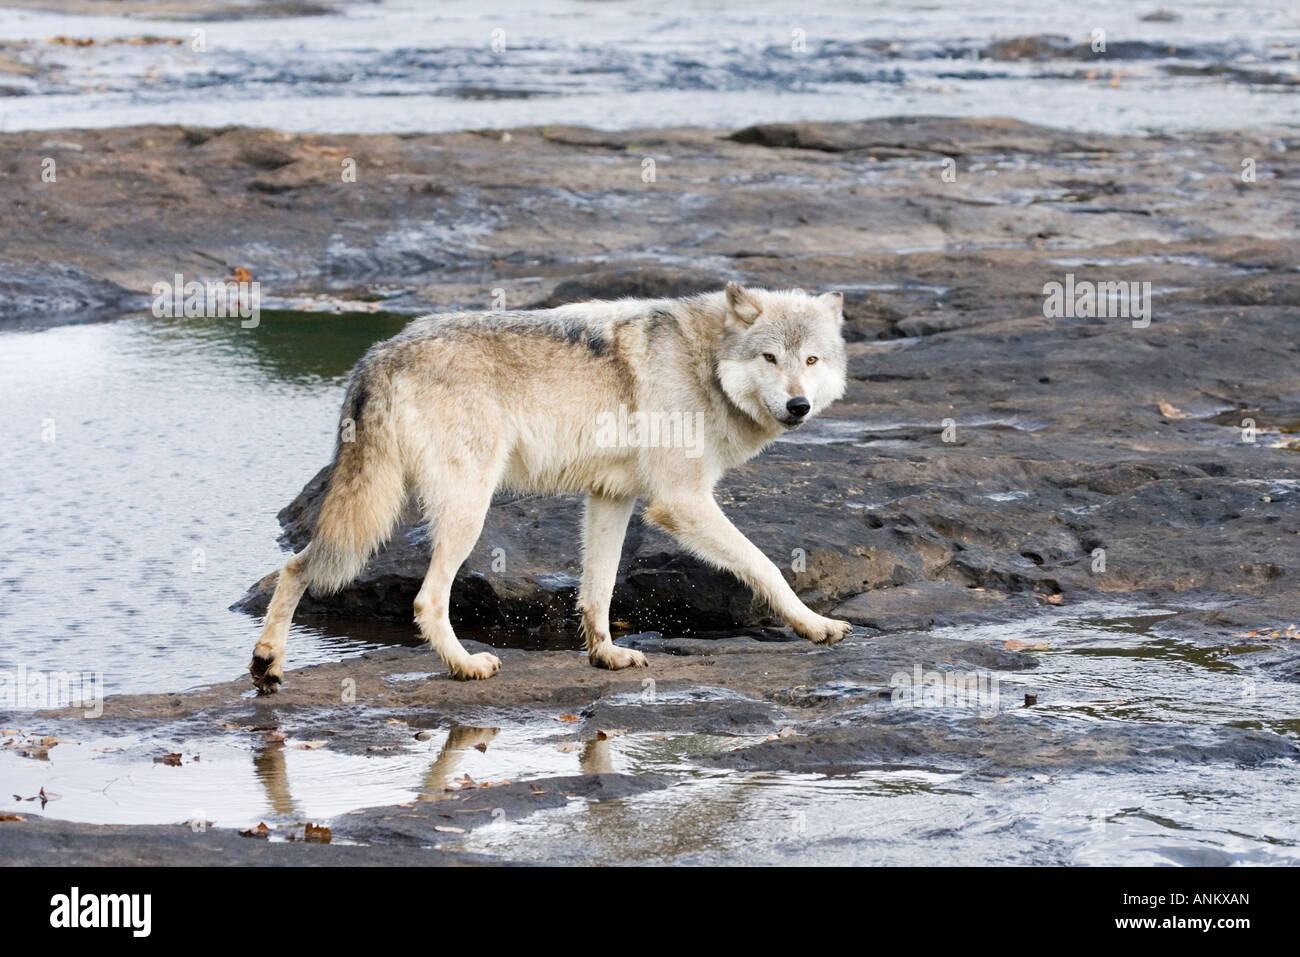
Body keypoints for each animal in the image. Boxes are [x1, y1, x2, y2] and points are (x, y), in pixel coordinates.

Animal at [249, 282, 852, 692]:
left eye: (811, 359)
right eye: (769, 357)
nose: (799, 405)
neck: (703, 364)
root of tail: (379, 354)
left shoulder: (612, 498)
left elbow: (598, 590)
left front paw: (606, 655)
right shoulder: (680, 502)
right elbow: (765, 565)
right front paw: (815, 625)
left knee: (296, 564)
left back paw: (267, 660)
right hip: (462, 512)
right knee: (424, 599)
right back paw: (465, 665)